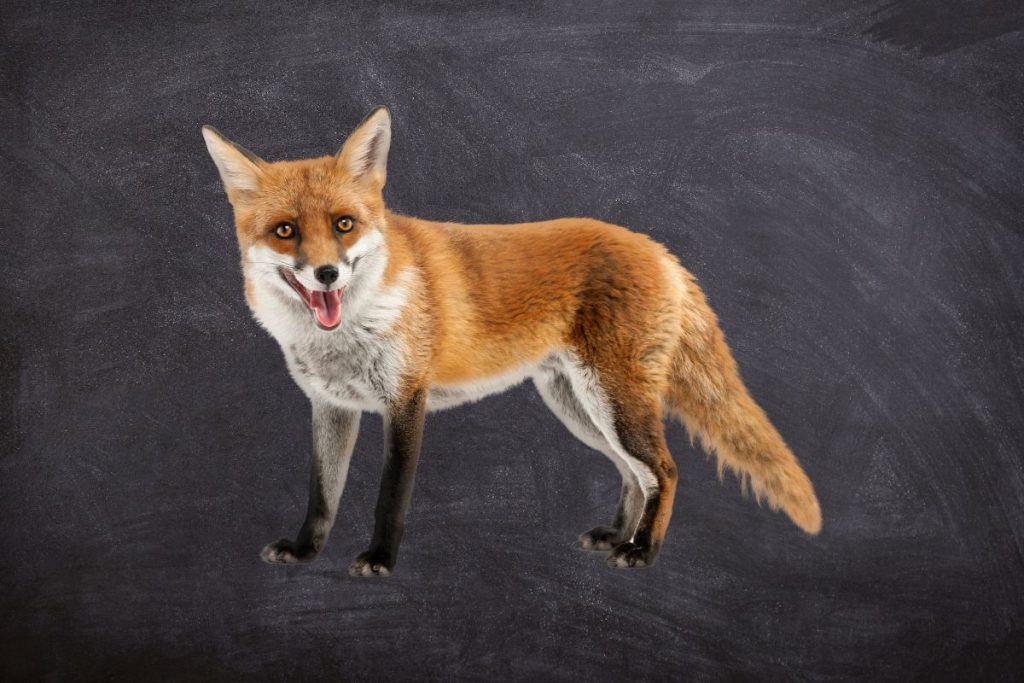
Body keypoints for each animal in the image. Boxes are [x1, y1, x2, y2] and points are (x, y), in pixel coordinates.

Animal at [201, 107, 821, 576]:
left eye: (344, 224)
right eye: (286, 231)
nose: (326, 274)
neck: (350, 330)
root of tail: (658, 249)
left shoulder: (406, 402)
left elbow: (388, 499)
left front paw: (379, 560)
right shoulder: (331, 406)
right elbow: (322, 494)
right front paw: (306, 551)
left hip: (613, 404)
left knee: (664, 471)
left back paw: (642, 551)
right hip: (579, 407)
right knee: (633, 474)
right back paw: (617, 535)